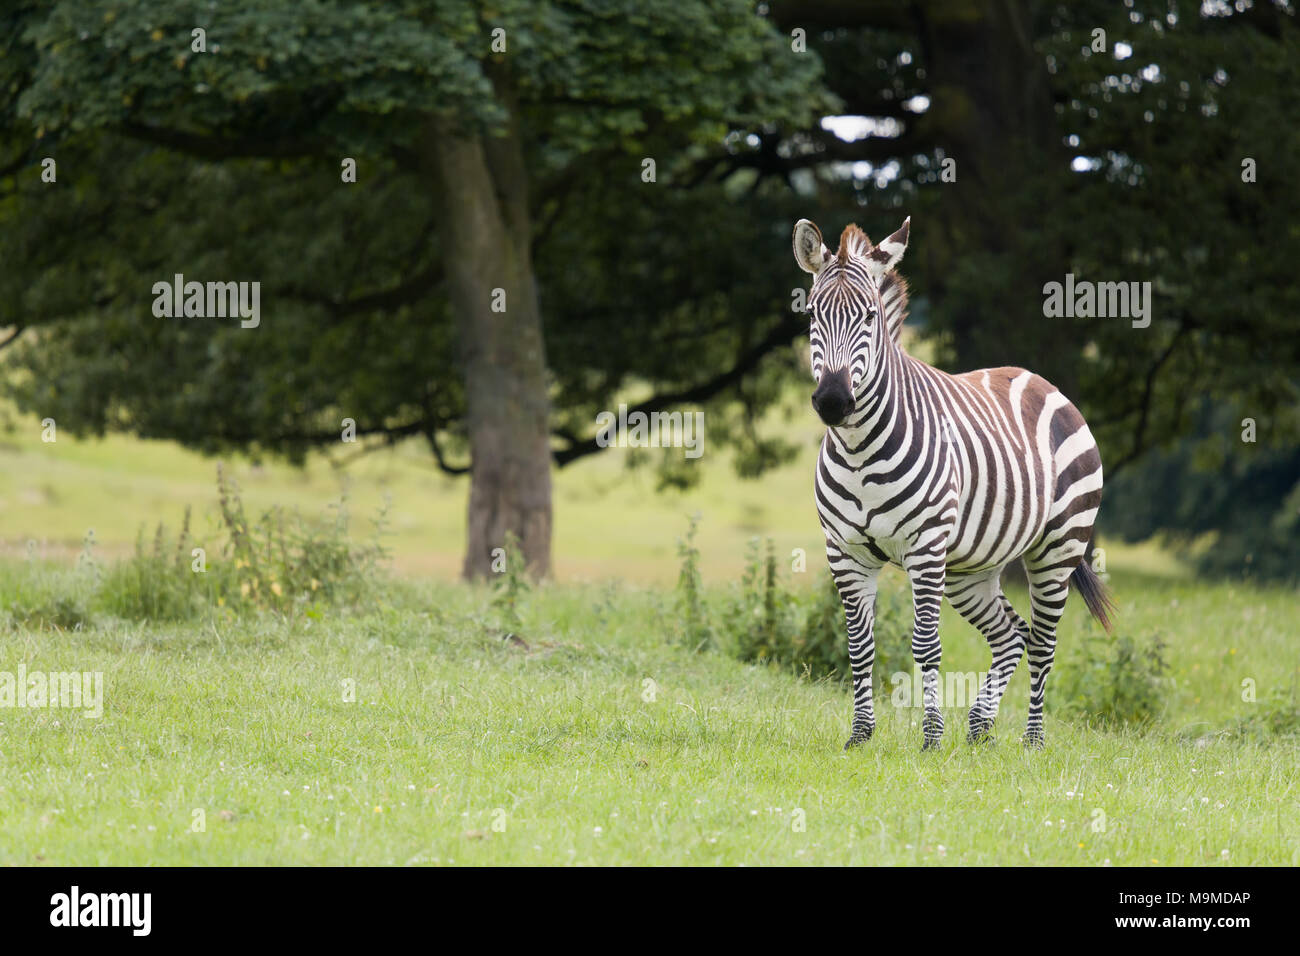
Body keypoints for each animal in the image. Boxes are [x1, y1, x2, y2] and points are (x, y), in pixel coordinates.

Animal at [792, 216, 1114, 751]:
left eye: (870, 318)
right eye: (814, 314)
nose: (834, 401)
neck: (859, 452)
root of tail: (1038, 379)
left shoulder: (925, 549)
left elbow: (925, 644)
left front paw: (930, 738)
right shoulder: (845, 551)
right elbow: (859, 646)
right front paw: (860, 736)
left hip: (1057, 548)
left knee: (1043, 643)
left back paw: (1032, 741)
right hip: (970, 567)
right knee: (1012, 635)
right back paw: (980, 728)